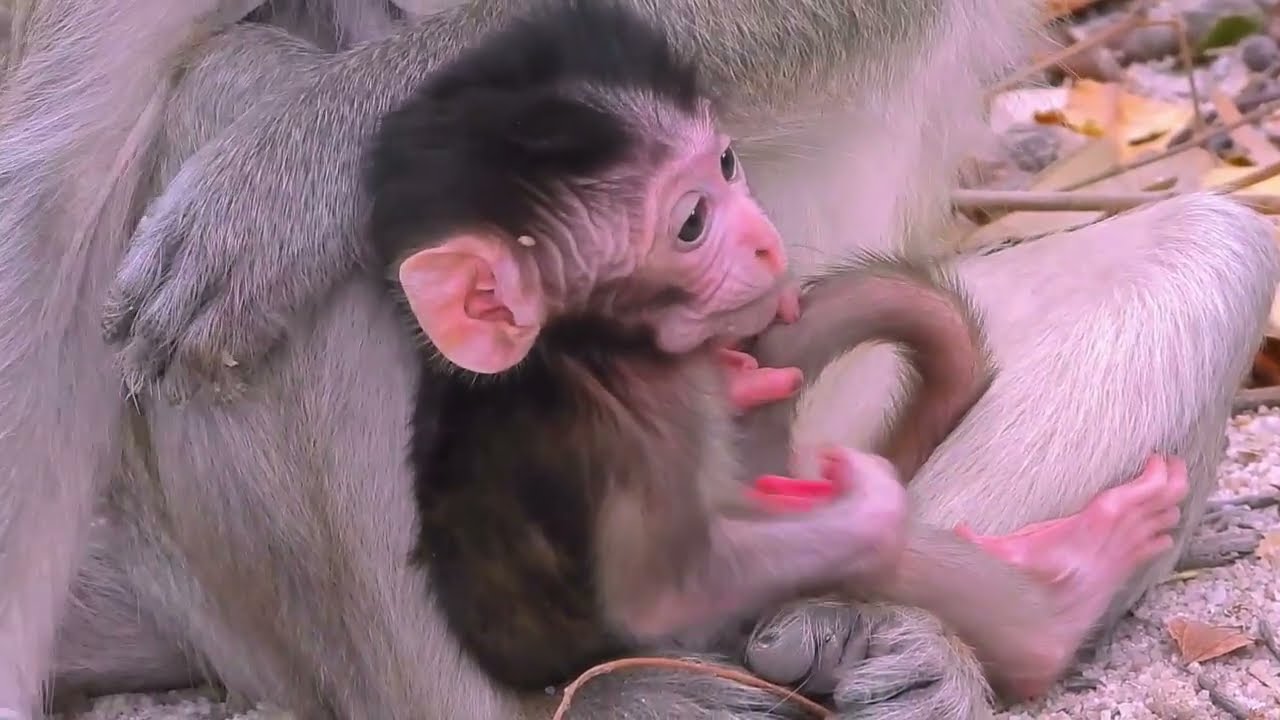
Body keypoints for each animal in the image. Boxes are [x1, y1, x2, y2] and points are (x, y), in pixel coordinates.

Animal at [0, 1, 1274, 719]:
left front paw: (301, 159)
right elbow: (57, 172)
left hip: (837, 428)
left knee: (1207, 255)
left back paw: (910, 636)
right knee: (225, 97)